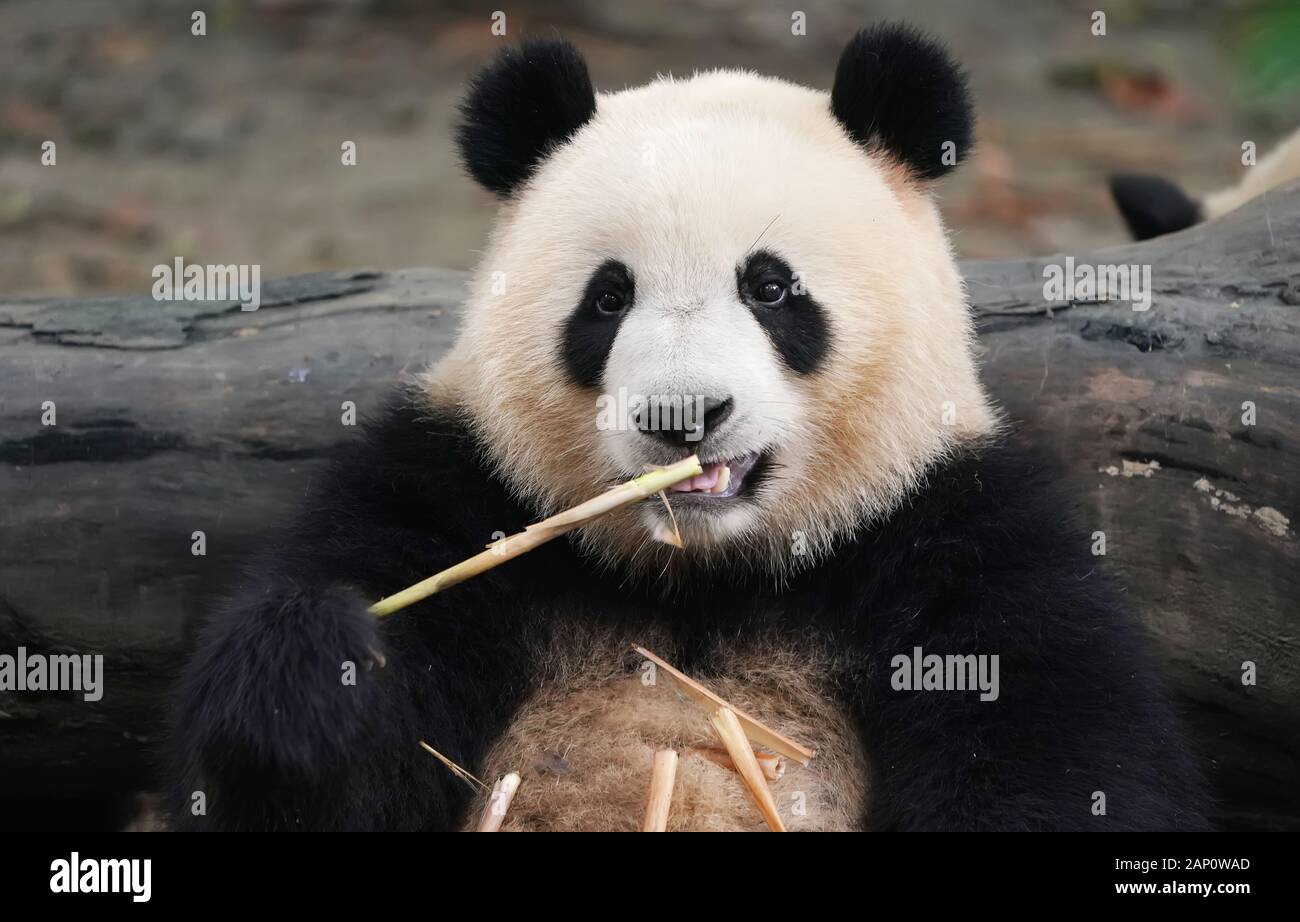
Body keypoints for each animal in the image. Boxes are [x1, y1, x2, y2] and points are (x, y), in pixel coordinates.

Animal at [169, 24, 1209, 832]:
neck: (703, 578)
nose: (682, 416)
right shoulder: (454, 490)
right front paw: (314, 672)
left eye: (771, 287)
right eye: (607, 297)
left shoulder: (946, 534)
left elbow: (1058, 754)